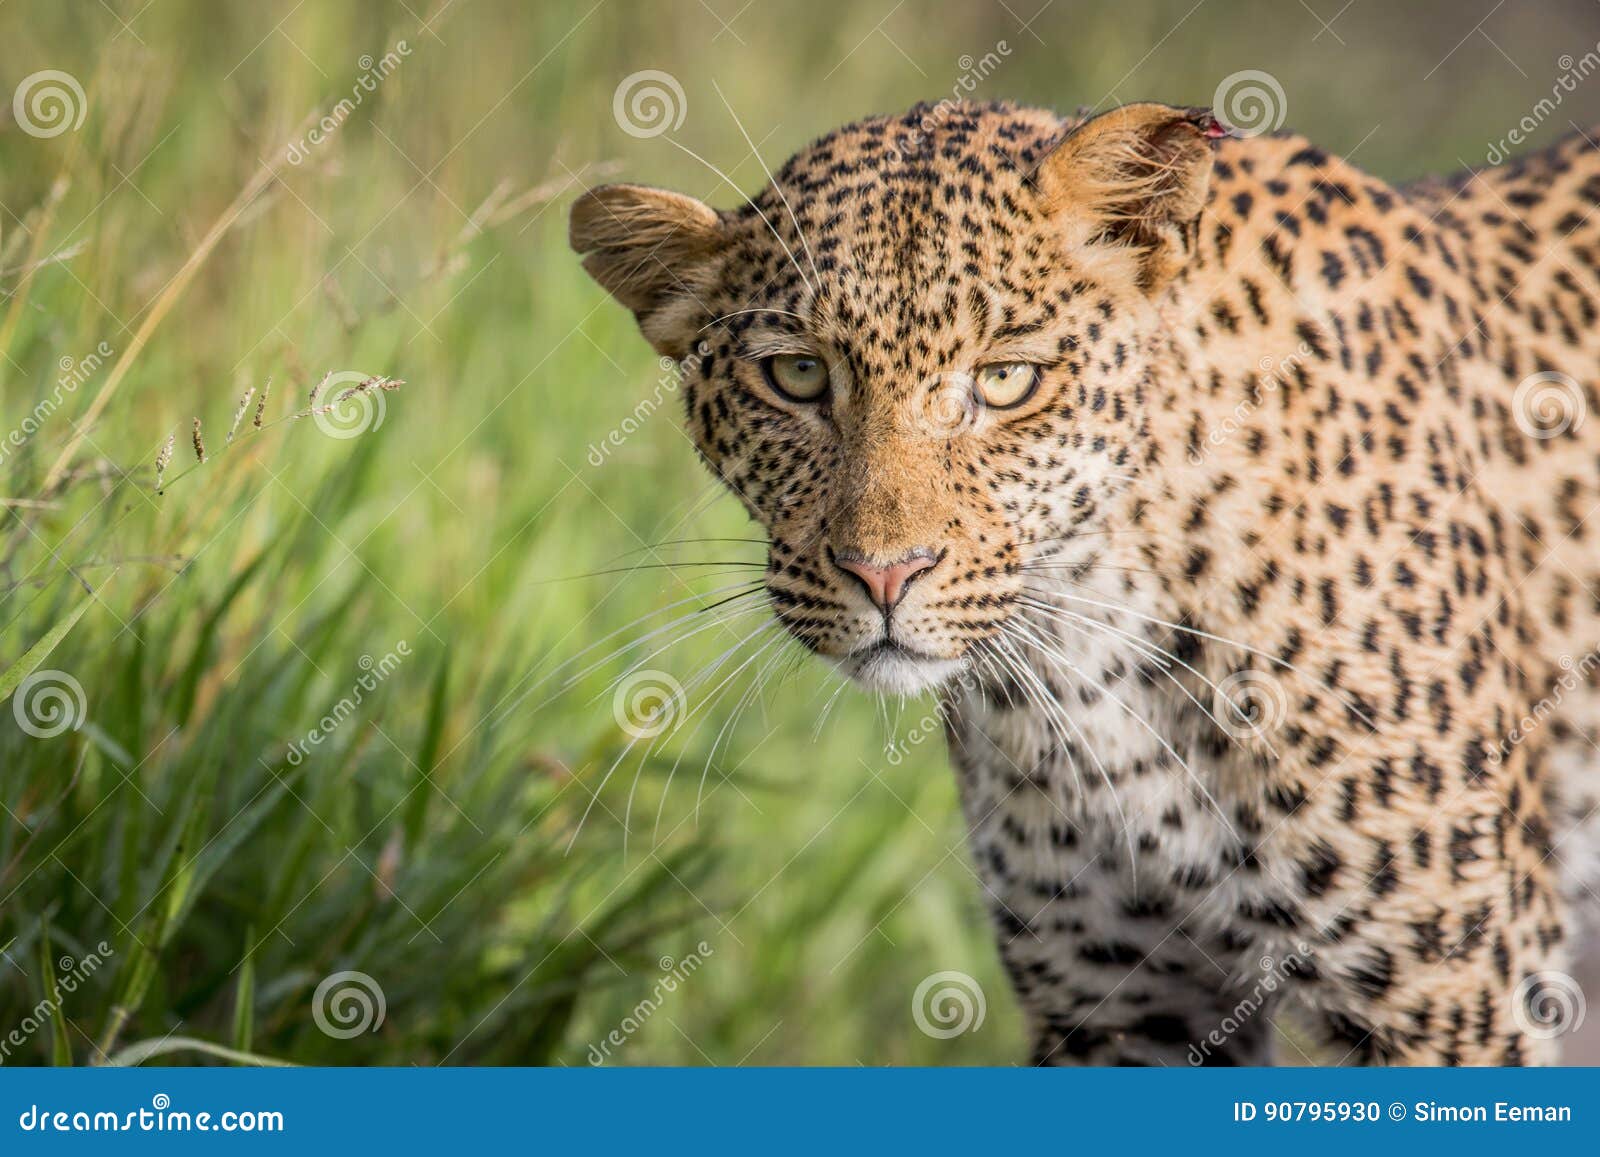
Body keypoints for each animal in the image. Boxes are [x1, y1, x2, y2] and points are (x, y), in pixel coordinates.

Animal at [570, 97, 1600, 1065]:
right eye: (795, 376)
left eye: (1006, 381)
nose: (884, 575)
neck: (1094, 657)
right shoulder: (1121, 1004)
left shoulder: (1456, 999)